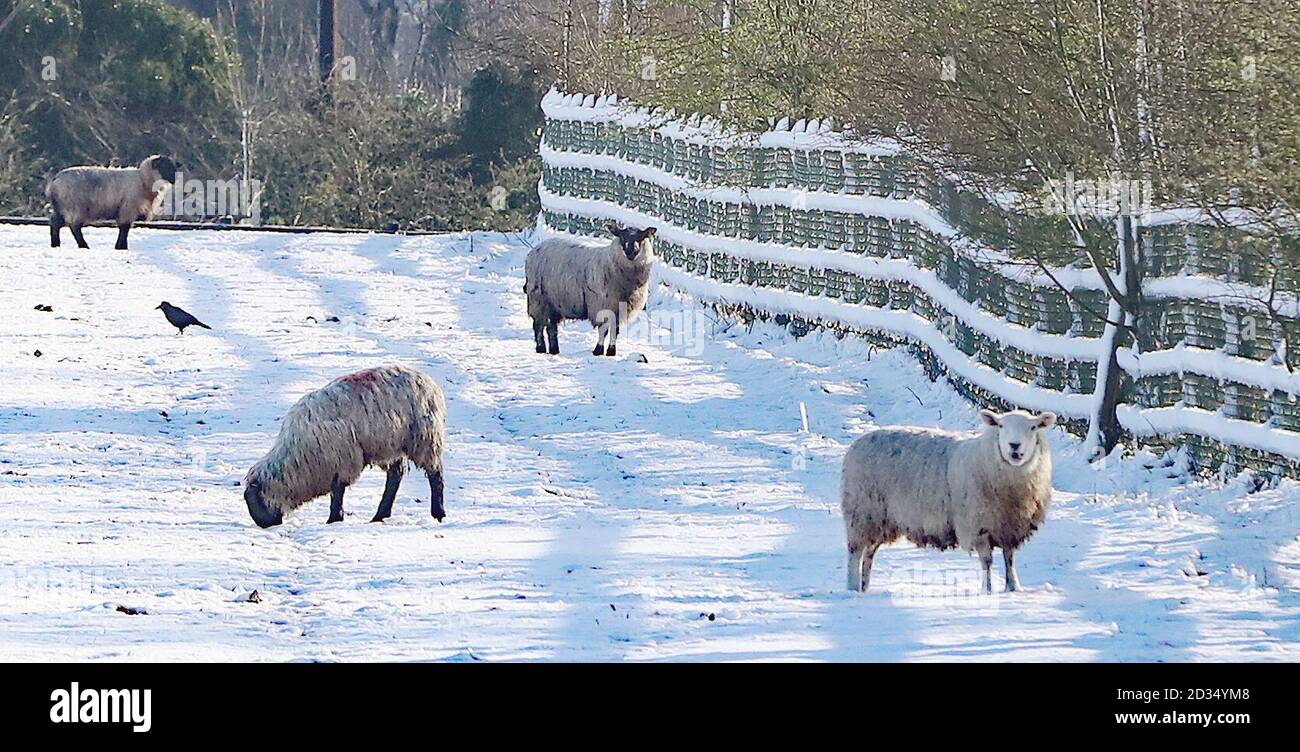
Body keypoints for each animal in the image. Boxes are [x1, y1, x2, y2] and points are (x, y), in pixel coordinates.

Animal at [46, 155, 178, 250]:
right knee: (74, 227)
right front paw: (122, 247)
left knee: (55, 223)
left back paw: (55, 244)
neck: (143, 180)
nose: (174, 180)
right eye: (164, 167)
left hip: (62, 208)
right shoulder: (127, 208)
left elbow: (124, 228)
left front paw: (120, 246)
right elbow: (125, 228)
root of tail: (55, 180)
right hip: (74, 207)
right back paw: (84, 245)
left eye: (173, 167)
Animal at [242, 365, 447, 528]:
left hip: (424, 439)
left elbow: (337, 491)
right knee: (395, 477)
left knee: (435, 476)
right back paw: (380, 515)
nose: (264, 525)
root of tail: (429, 381)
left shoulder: (343, 461)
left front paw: (334, 519)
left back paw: (438, 513)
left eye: (254, 500)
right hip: (389, 445)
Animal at [524, 225, 656, 356]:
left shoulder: (619, 309)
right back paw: (541, 348)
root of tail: (535, 250)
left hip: (553, 303)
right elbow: (604, 330)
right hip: (538, 299)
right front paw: (598, 350)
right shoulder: (601, 306)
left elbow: (615, 330)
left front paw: (611, 351)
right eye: (622, 237)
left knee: (551, 327)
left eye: (641, 238)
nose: (630, 252)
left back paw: (554, 350)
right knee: (539, 325)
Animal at [840, 409, 1056, 593]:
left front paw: (1013, 587)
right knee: (855, 552)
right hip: (861, 512)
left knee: (869, 552)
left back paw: (865, 586)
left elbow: (1009, 559)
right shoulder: (978, 527)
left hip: (881, 519)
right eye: (1001, 426)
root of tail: (857, 443)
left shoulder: (1009, 527)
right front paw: (987, 590)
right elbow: (987, 562)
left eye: (1033, 427)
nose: (1014, 446)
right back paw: (853, 587)